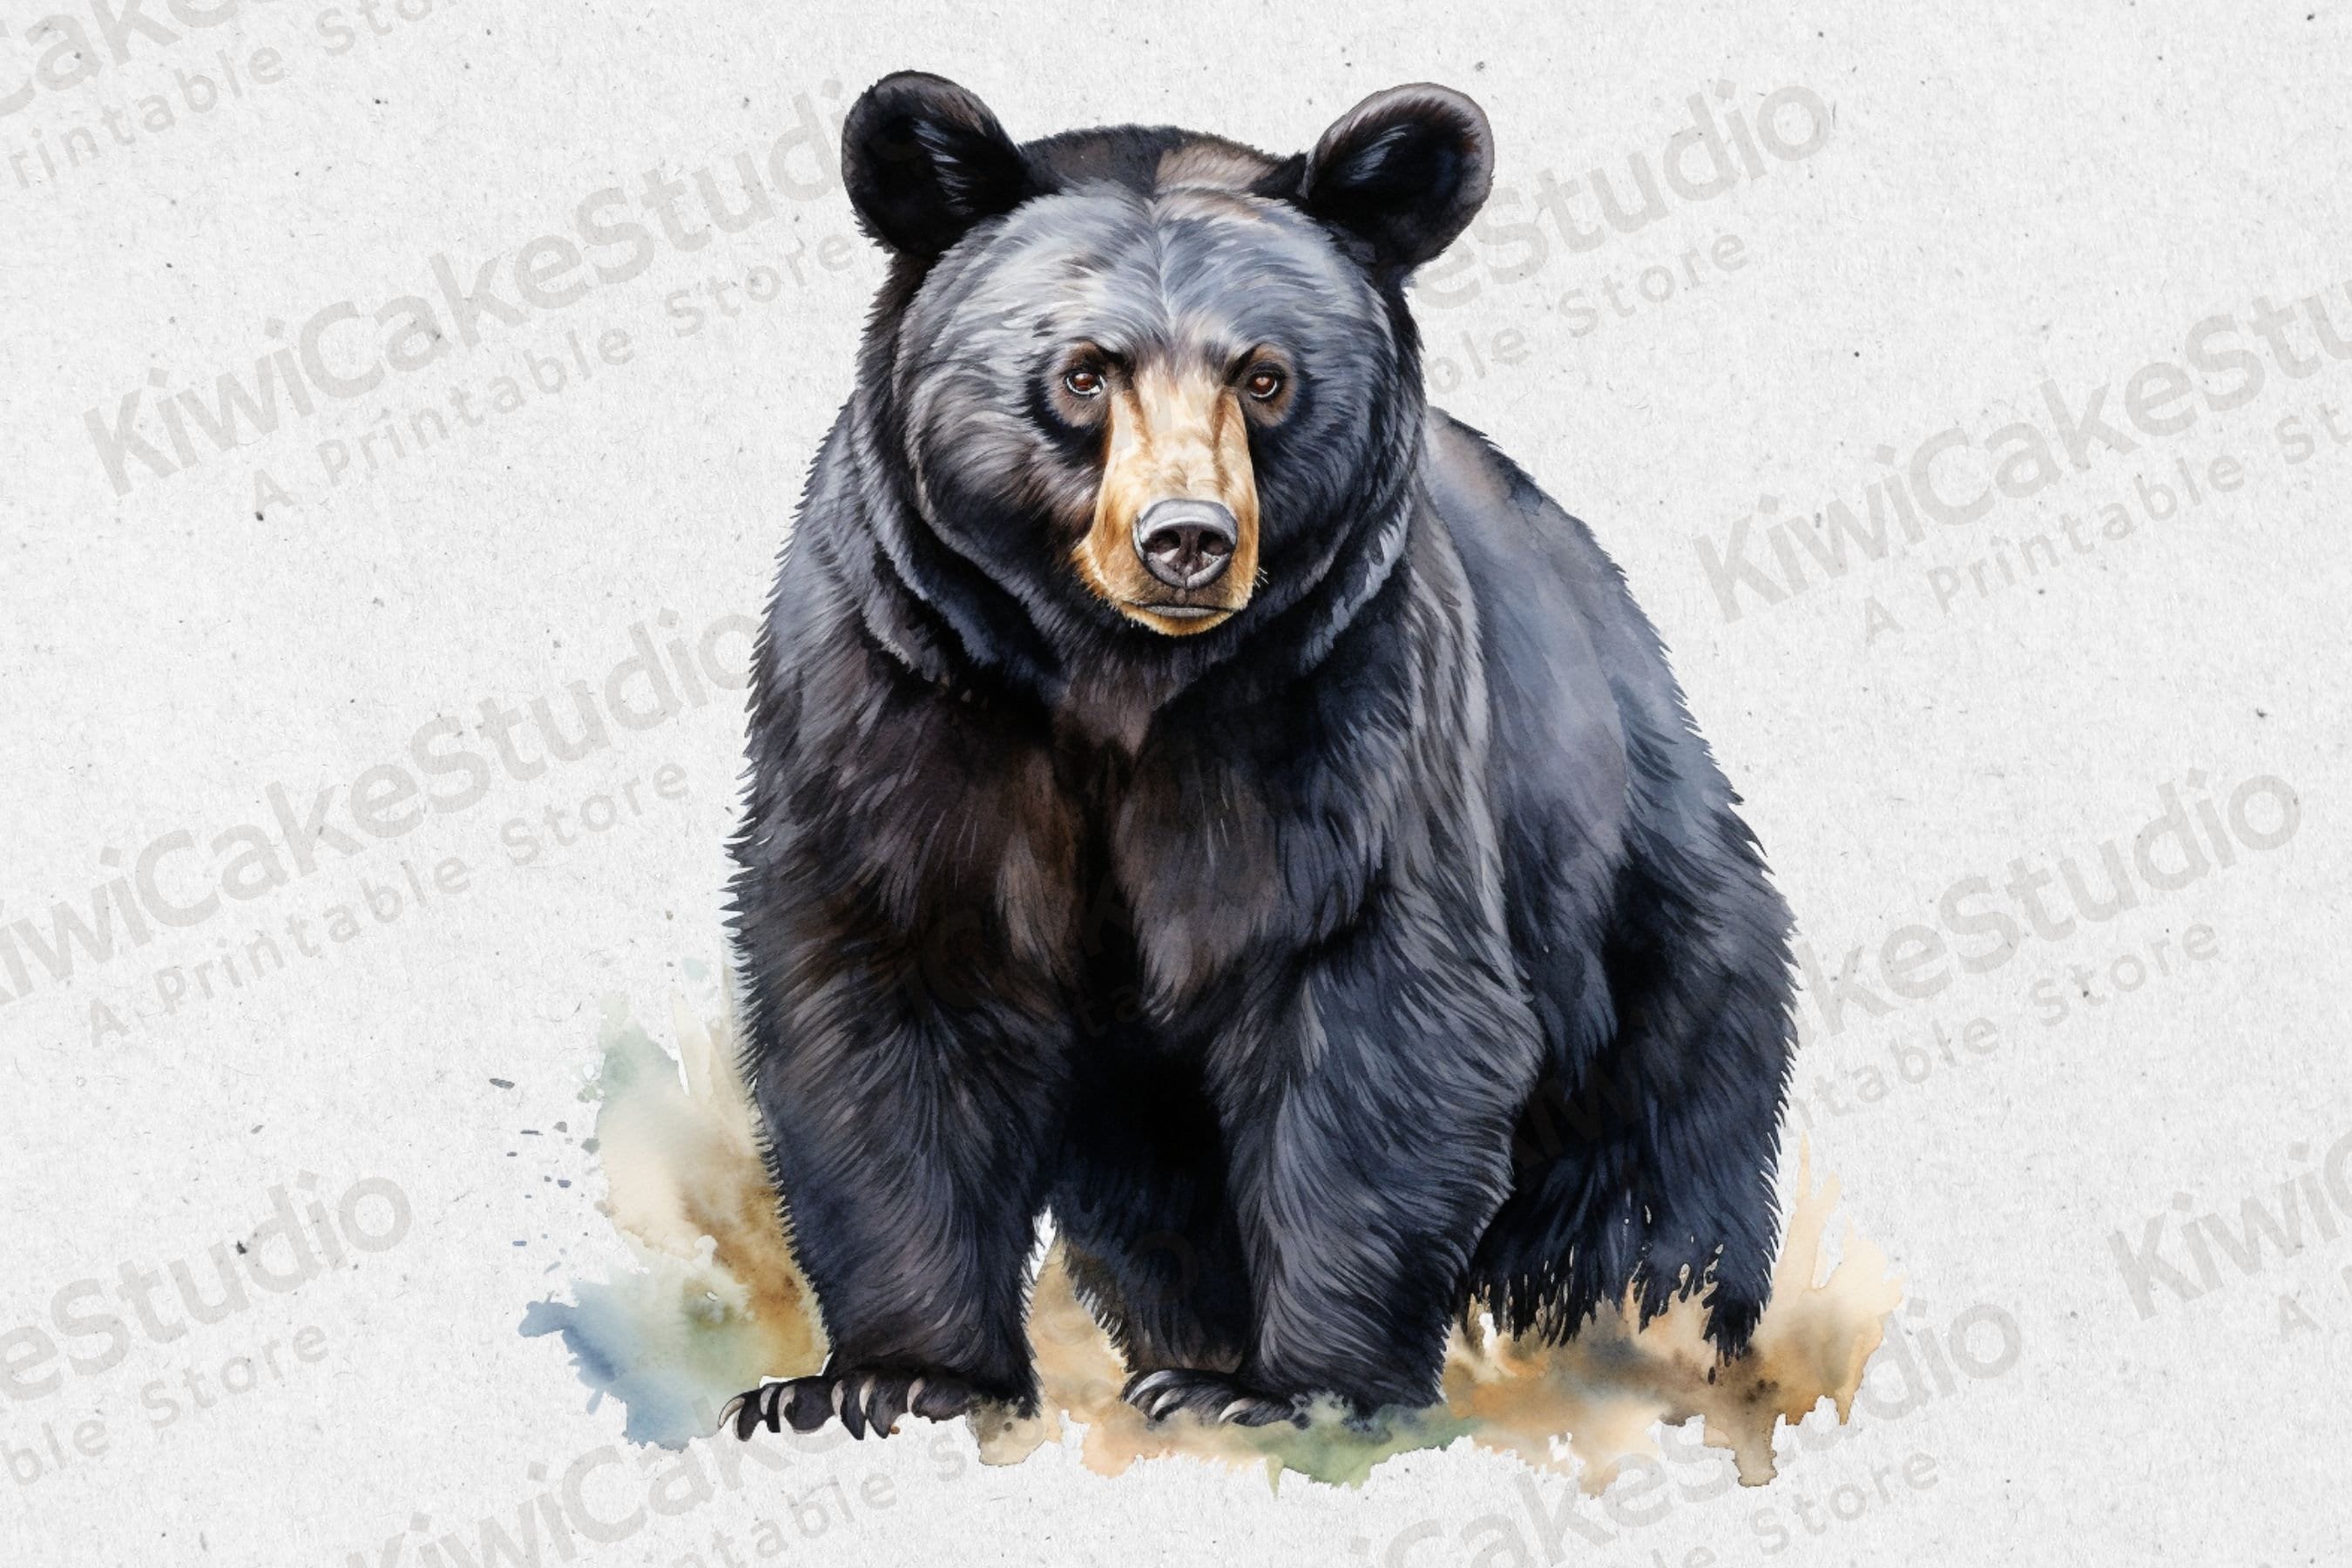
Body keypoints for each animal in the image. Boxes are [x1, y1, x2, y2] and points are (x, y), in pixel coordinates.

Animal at [723, 71, 1796, 1440]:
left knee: (1656, 1170)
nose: (1186, 538)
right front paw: (890, 1376)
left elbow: (1372, 1002)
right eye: (1084, 372)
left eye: (1267, 376)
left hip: (1643, 919)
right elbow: (894, 985)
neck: (1119, 685)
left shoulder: (1342, 713)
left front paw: (1297, 1392)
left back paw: (1642, 1335)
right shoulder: (907, 694)